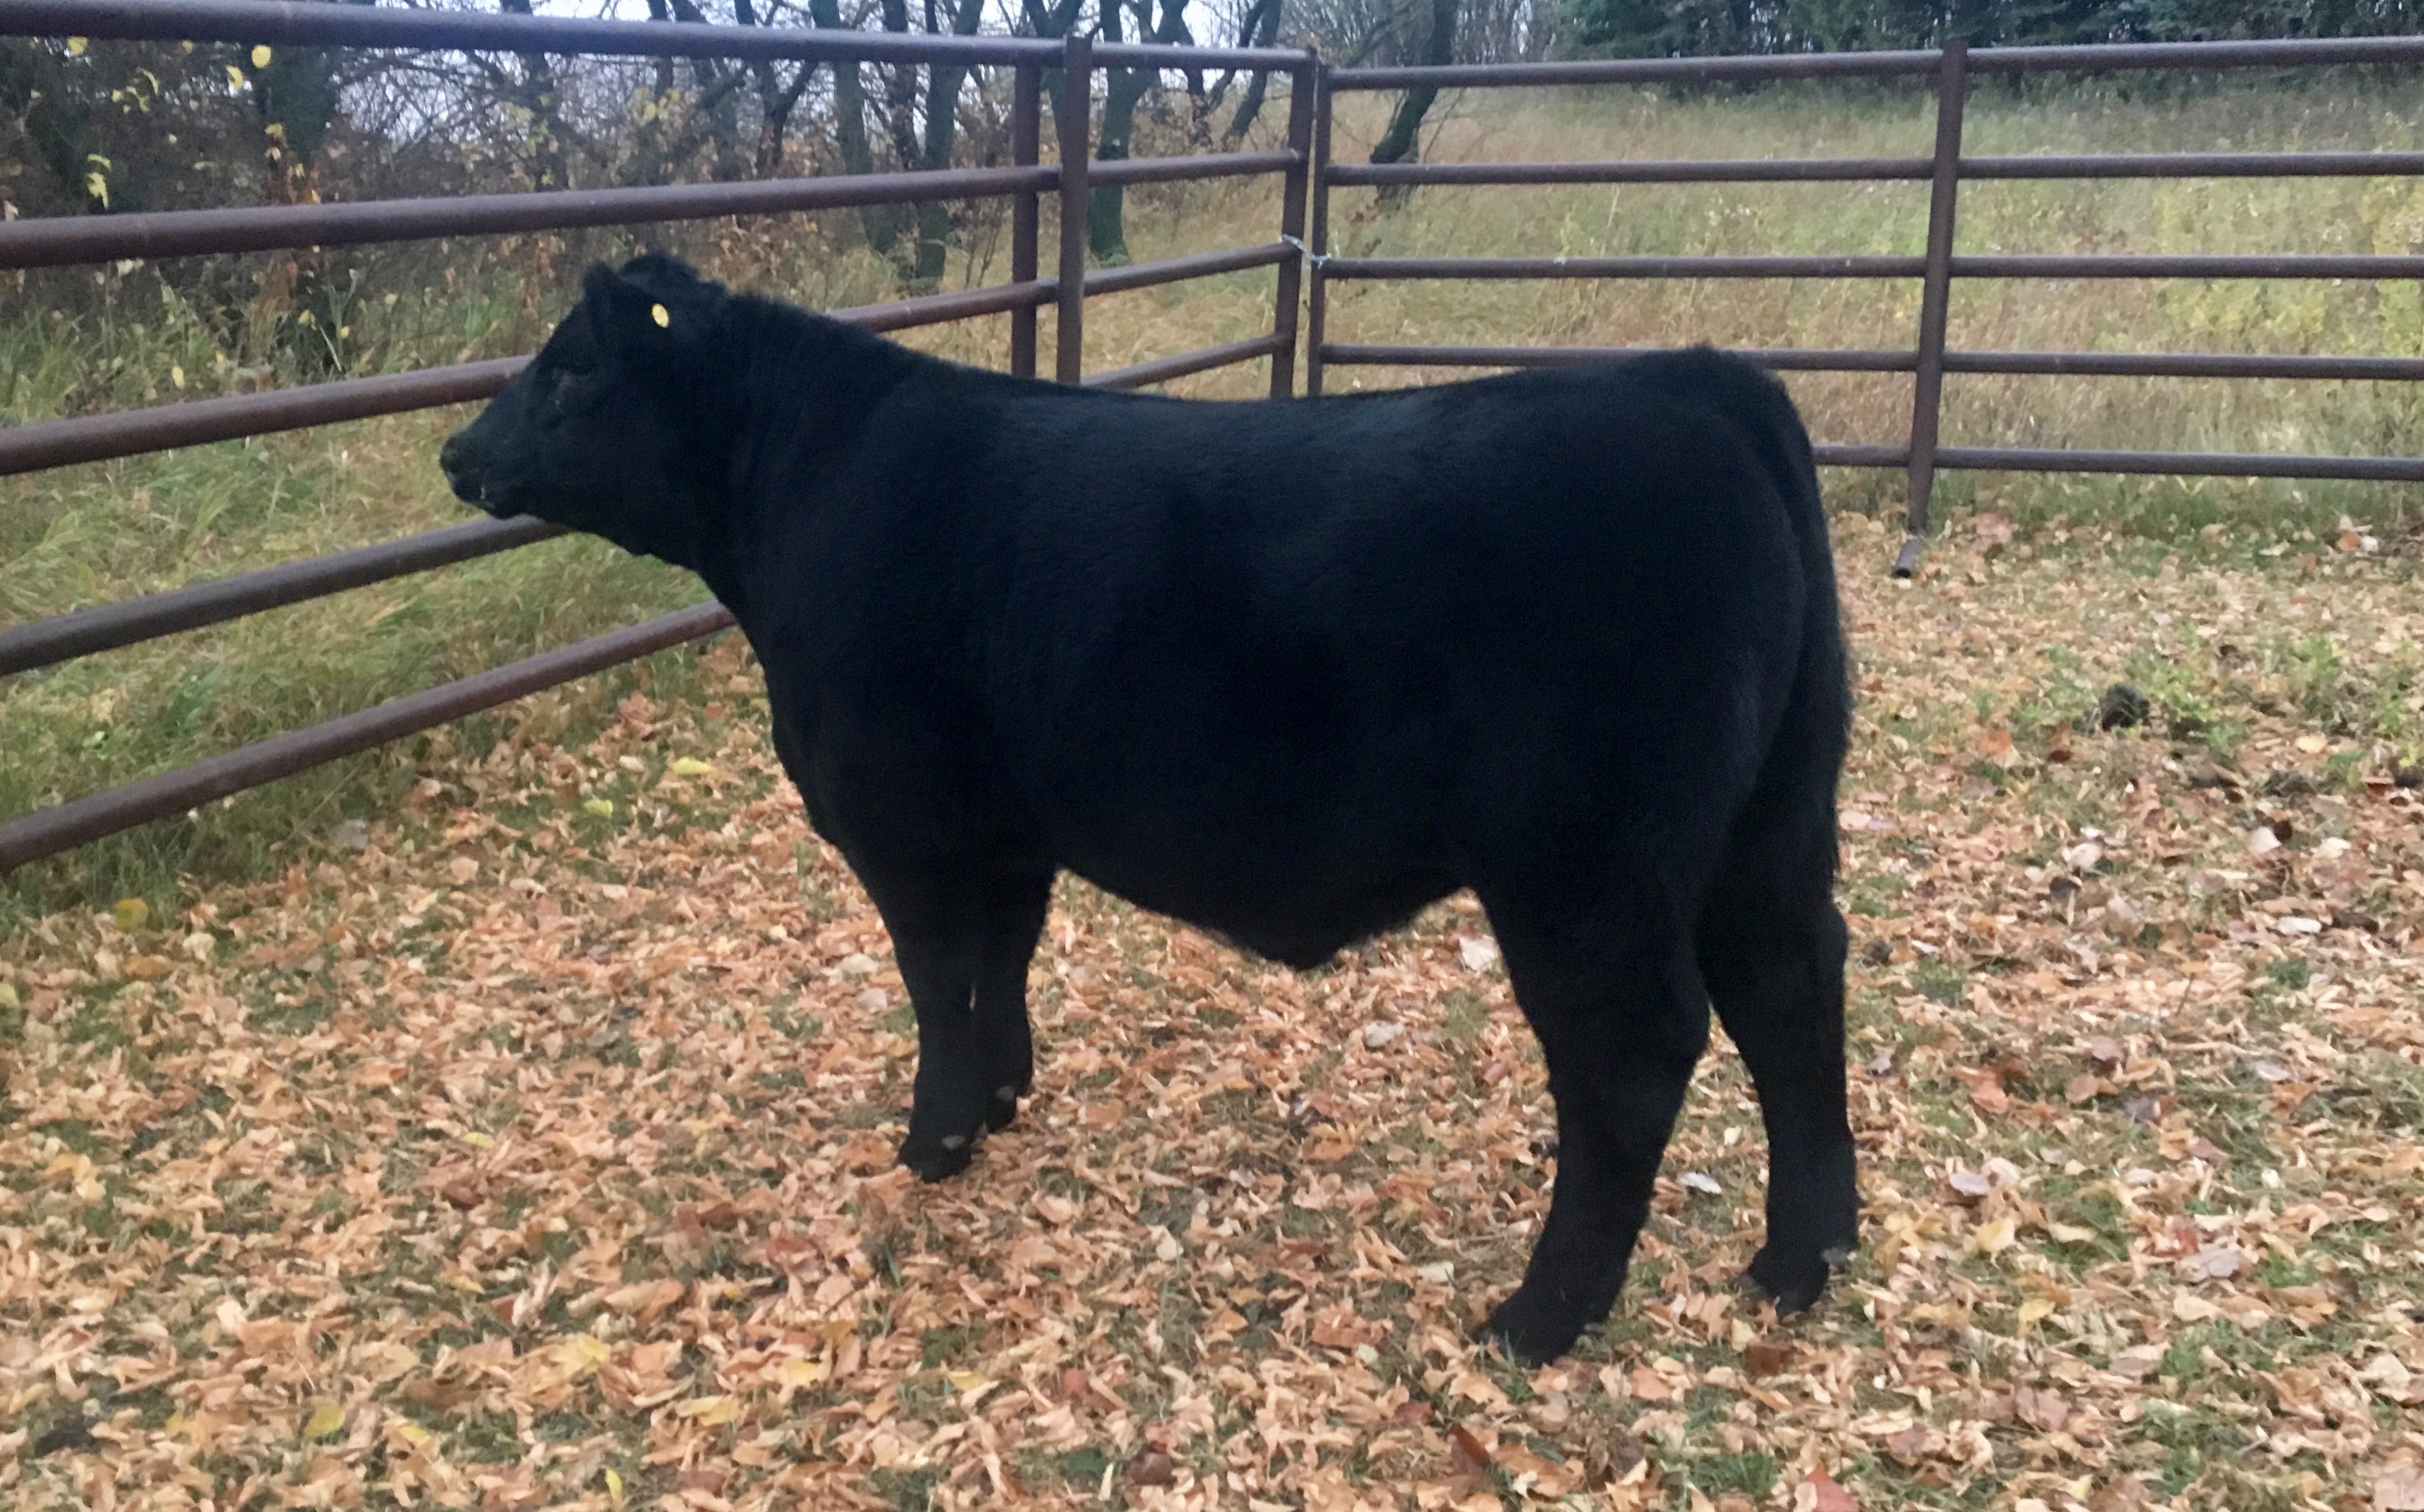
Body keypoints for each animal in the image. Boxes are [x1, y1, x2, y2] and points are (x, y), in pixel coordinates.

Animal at [439, 253, 1856, 1363]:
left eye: (567, 373)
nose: (456, 450)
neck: (796, 493)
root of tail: (1695, 381)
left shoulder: (899, 814)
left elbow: (935, 974)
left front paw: (934, 1139)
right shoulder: (1006, 824)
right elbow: (1001, 960)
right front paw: (1003, 1095)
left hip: (1584, 868)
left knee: (1636, 1053)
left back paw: (1540, 1318)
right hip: (1768, 824)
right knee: (1793, 988)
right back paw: (1803, 1260)